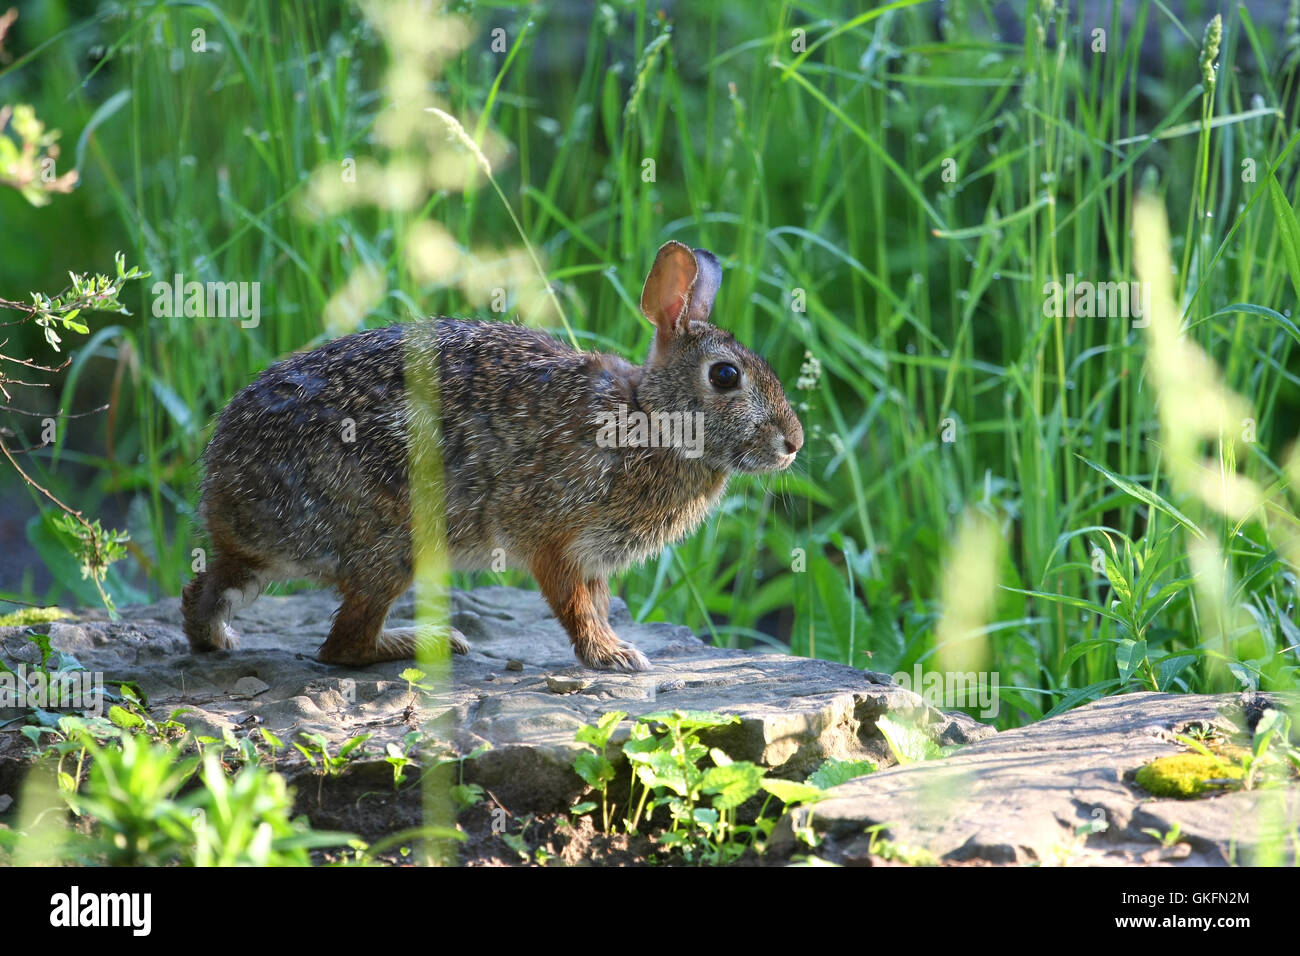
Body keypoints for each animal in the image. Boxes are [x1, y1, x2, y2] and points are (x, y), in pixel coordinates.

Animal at [181, 240, 804, 671]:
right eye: (725, 376)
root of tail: (223, 490)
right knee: (341, 647)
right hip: (392, 541)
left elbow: (598, 601)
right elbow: (575, 605)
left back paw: (215, 637)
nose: (792, 444)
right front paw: (613, 656)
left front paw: (614, 647)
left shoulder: (593, 558)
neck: (649, 418)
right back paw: (424, 642)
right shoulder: (551, 535)